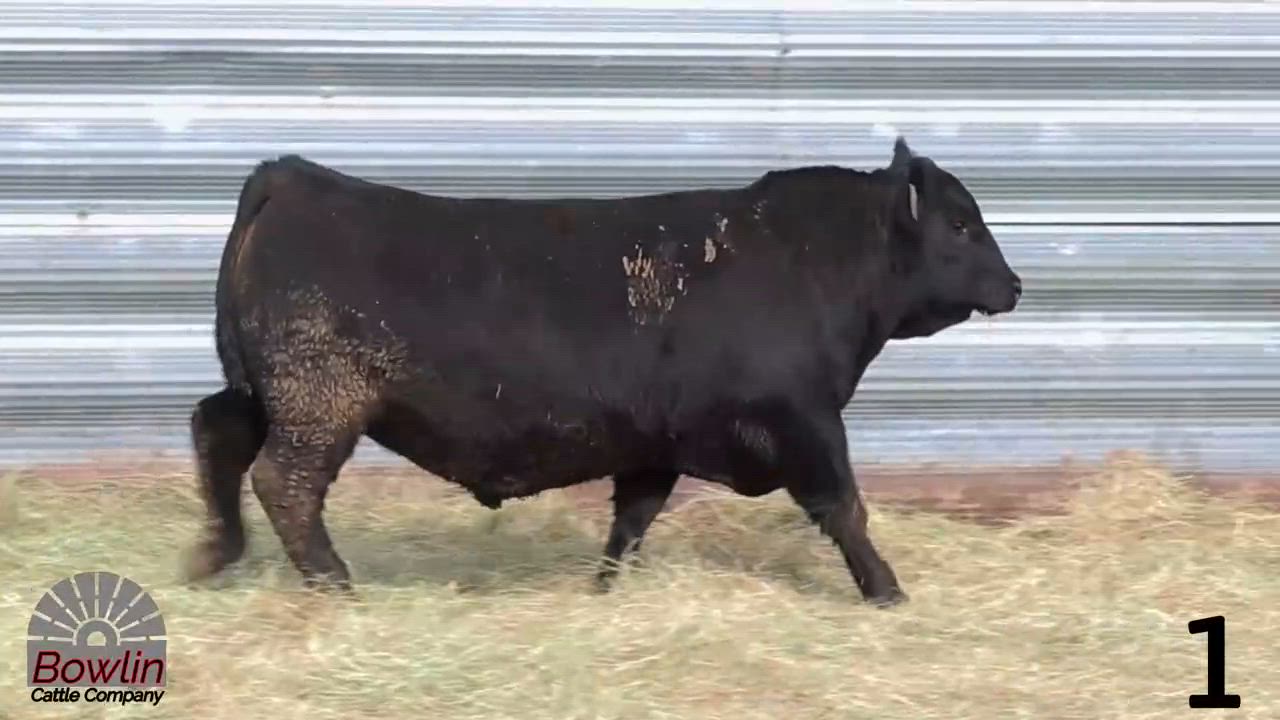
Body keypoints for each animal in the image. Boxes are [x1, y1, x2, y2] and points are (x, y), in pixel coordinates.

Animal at [183, 137, 1021, 607]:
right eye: (959, 223)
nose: (1014, 285)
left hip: (261, 390)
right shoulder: (806, 422)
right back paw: (337, 586)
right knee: (284, 484)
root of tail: (295, 178)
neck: (811, 261)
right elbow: (845, 510)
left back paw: (214, 555)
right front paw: (888, 590)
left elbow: (631, 521)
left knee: (216, 433)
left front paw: (604, 590)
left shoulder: (657, 444)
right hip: (317, 404)